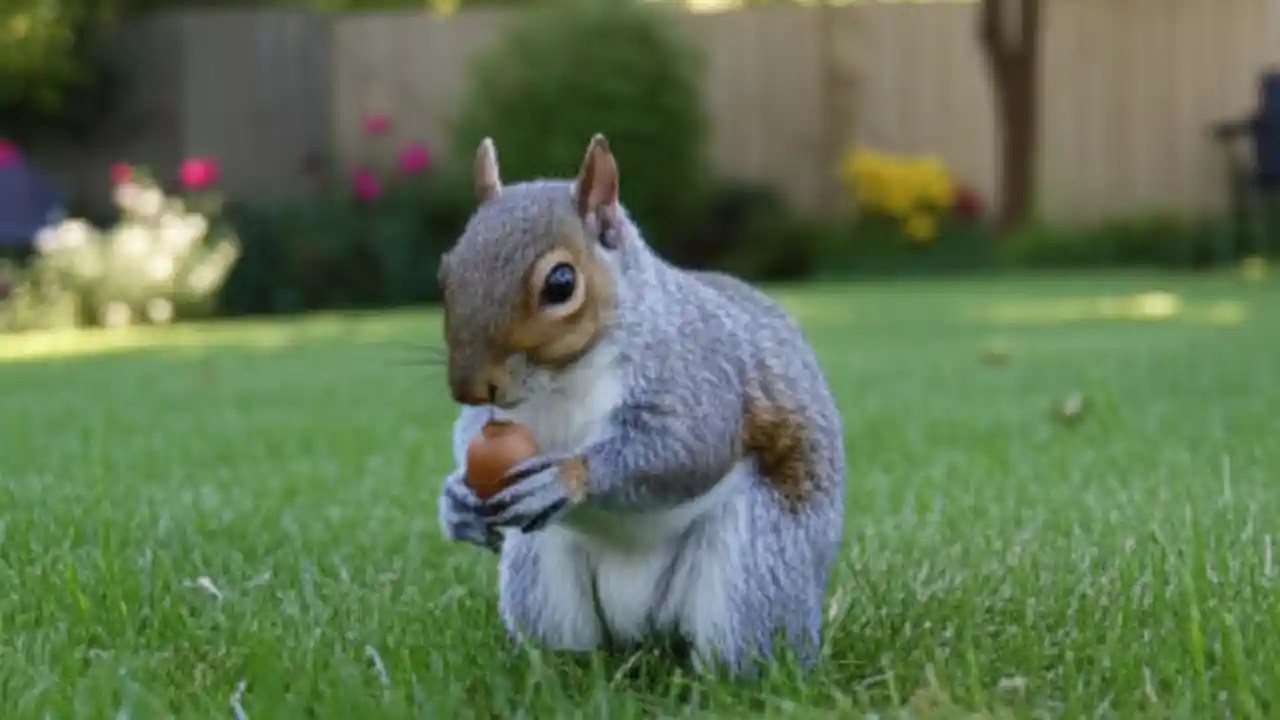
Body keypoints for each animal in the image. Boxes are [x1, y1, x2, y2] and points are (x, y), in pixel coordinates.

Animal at [436, 134, 847, 677]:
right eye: (446, 273)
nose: (468, 386)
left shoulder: (696, 369)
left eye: (561, 283)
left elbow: (686, 441)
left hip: (756, 568)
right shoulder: (495, 417)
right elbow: (468, 432)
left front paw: (568, 476)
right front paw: (456, 497)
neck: (559, 382)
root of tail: (644, 628)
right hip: (540, 570)